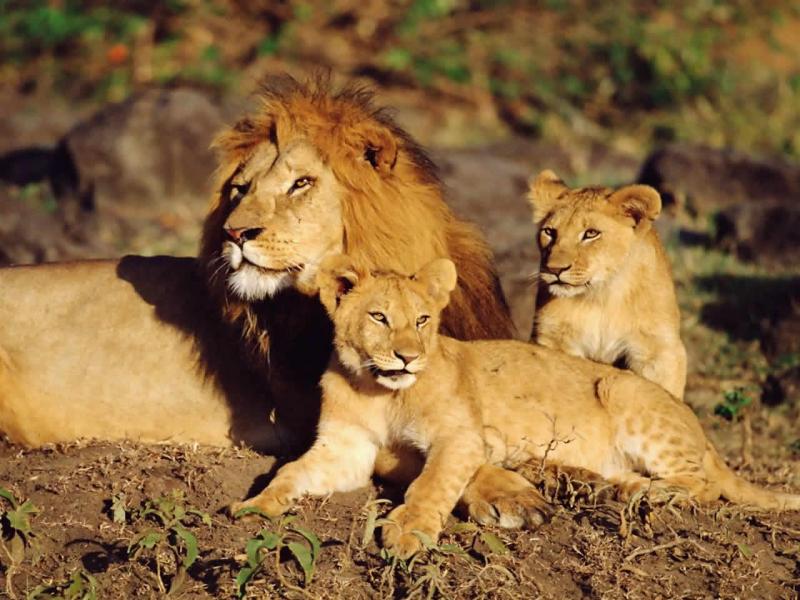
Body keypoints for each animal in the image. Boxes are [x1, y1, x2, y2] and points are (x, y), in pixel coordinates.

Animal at [231, 255, 800, 558]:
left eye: (422, 320)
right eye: (378, 317)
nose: (408, 356)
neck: (381, 392)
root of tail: (703, 434)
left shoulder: (462, 437)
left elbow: (433, 483)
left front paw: (410, 530)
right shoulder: (345, 449)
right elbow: (291, 473)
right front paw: (255, 505)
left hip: (625, 392)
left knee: (701, 484)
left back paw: (652, 494)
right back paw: (613, 488)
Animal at [528, 170, 687, 399]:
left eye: (591, 233)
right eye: (549, 232)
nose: (554, 269)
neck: (601, 295)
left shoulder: (658, 348)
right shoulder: (553, 338)